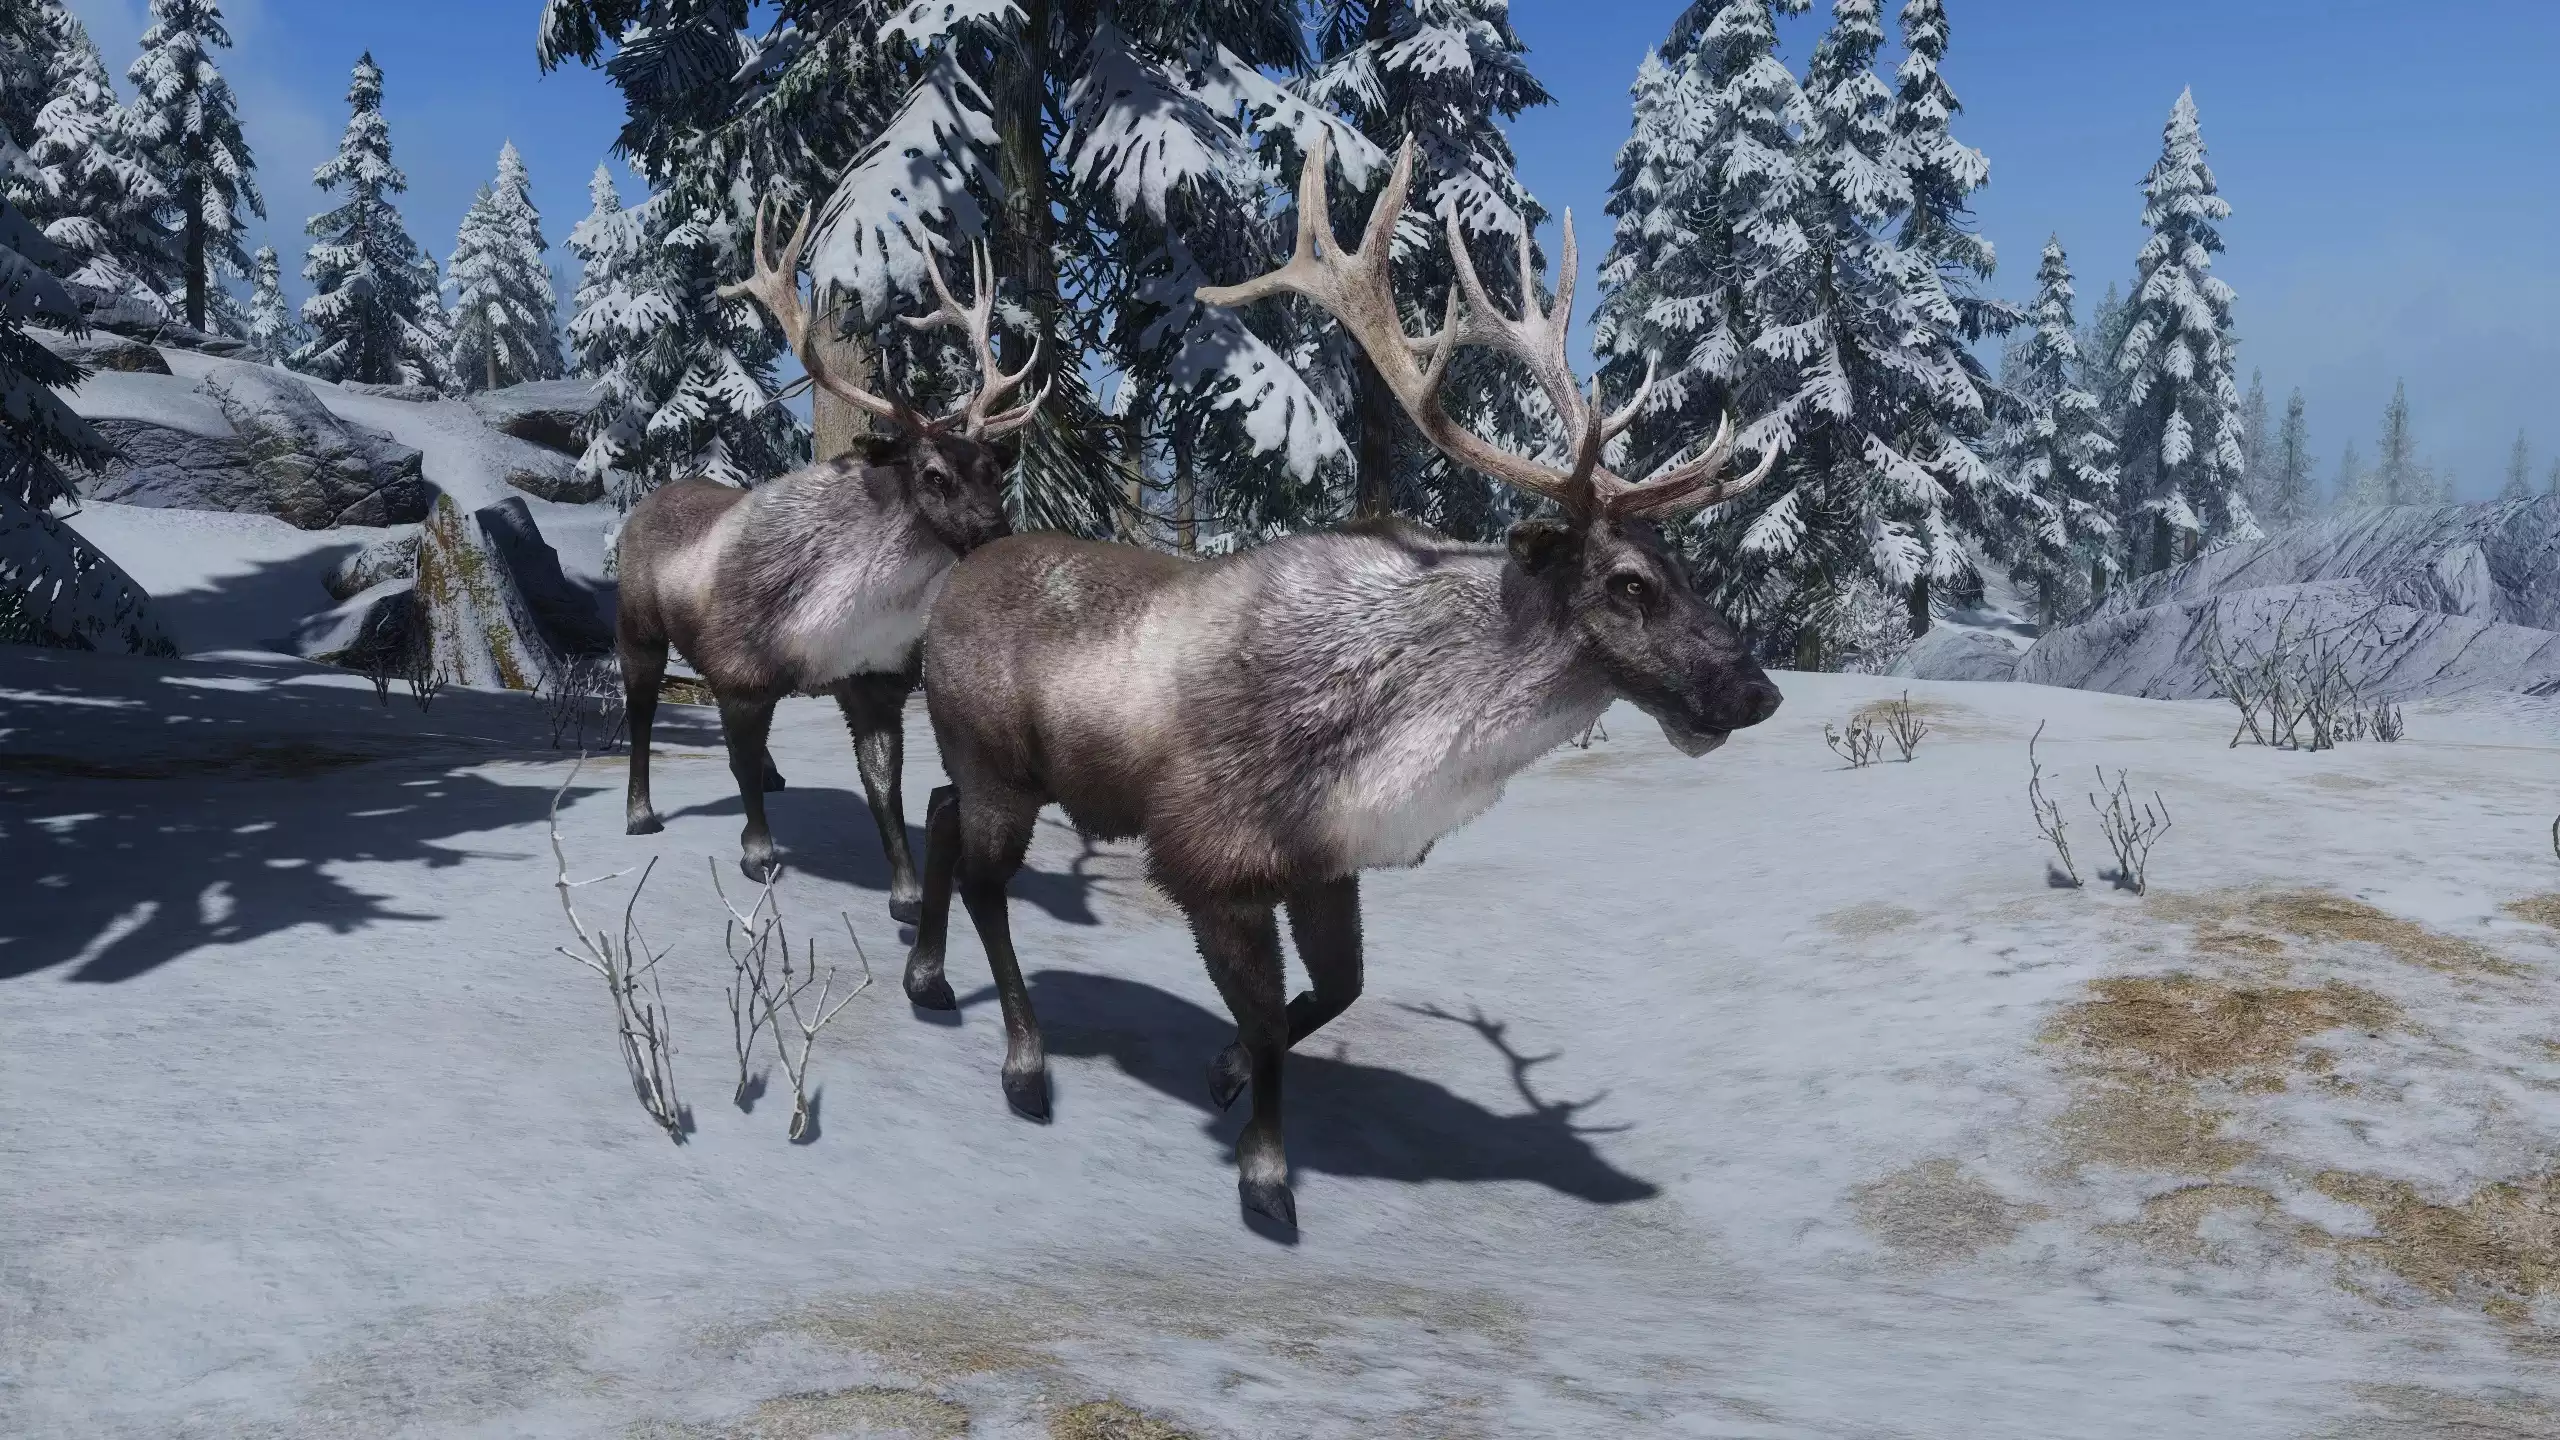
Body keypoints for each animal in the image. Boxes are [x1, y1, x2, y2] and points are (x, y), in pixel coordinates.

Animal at [613, 203, 1045, 915]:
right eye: (932, 475)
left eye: (993, 471)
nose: (995, 534)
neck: (843, 616)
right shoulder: (739, 674)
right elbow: (736, 765)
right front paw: (758, 853)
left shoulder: (876, 681)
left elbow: (884, 788)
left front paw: (905, 893)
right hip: (637, 627)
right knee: (642, 712)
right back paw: (640, 812)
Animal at [899, 134, 1784, 1230]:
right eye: (1628, 583)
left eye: (1685, 566)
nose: (1756, 692)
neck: (1405, 752)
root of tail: (951, 584)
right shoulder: (1208, 862)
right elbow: (1273, 1021)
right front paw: (1265, 1177)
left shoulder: (1327, 868)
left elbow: (1333, 996)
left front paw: (1222, 1072)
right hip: (998, 764)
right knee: (987, 880)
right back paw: (1024, 1067)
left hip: (982, 768)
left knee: (936, 811)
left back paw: (927, 980)